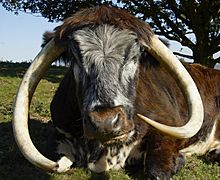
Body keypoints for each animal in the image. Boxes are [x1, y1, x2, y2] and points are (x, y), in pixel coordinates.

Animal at [13, 5, 220, 180]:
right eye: (75, 58)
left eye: (135, 56)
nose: (104, 122)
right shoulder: (60, 134)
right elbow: (59, 162)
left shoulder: (169, 127)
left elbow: (156, 171)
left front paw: (179, 160)